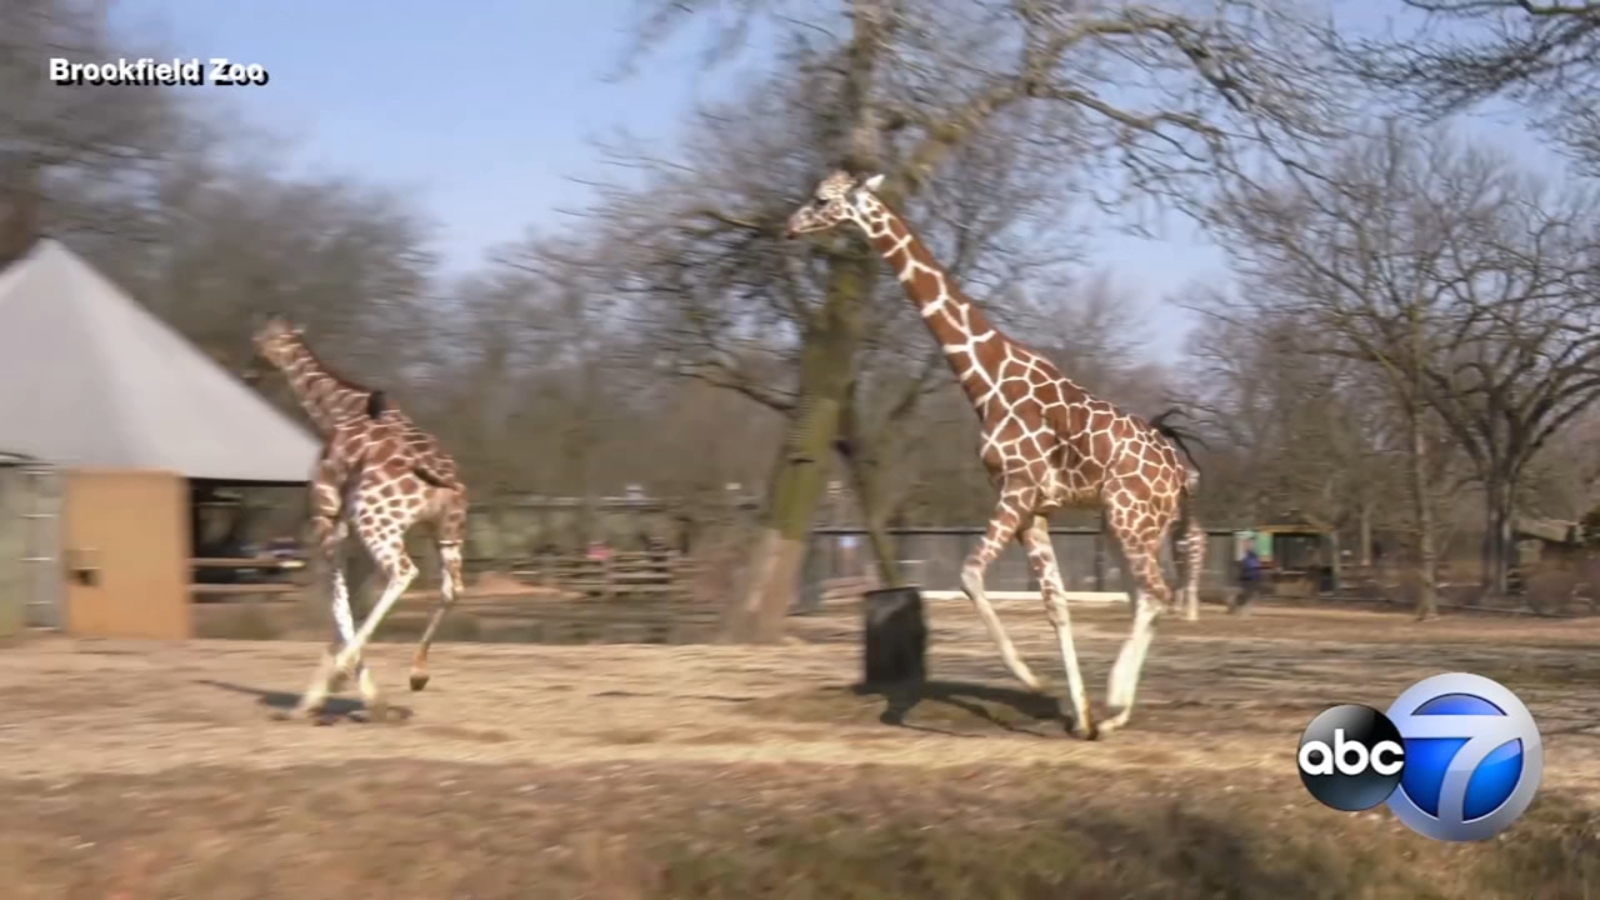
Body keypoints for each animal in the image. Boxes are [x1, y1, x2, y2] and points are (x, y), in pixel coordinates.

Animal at [251, 315, 468, 721]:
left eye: (259, 342)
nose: (250, 372)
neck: (342, 409)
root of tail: (439, 478)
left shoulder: (328, 518)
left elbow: (338, 599)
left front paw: (326, 694)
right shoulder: (348, 532)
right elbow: (348, 600)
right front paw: (331, 694)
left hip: (378, 526)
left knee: (404, 573)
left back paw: (344, 676)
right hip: (446, 534)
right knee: (452, 589)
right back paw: (417, 674)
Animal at [786, 171, 1205, 739]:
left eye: (822, 199)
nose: (790, 226)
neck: (985, 378)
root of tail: (1180, 471)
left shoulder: (1016, 490)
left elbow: (969, 576)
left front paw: (1038, 684)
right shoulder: (1035, 510)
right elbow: (1056, 604)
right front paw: (1077, 714)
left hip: (1129, 517)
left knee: (1155, 593)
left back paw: (1116, 707)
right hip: (1131, 524)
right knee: (1144, 596)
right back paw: (1110, 712)